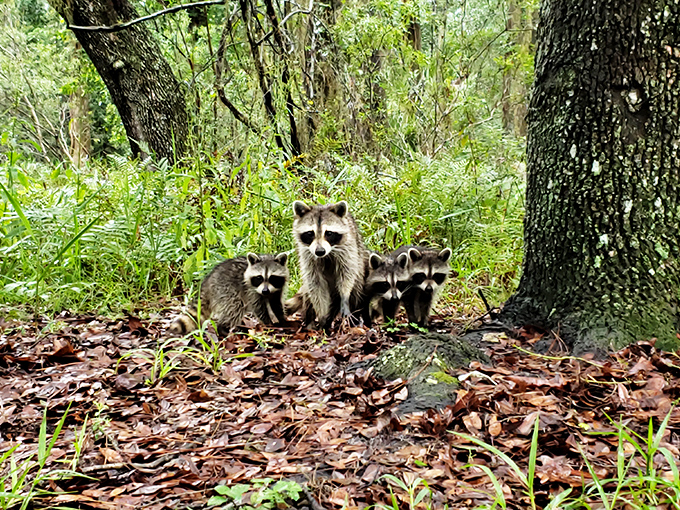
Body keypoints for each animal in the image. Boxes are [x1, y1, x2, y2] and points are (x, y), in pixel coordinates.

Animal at [287, 200, 368, 329]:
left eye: (329, 233)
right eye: (310, 233)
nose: (320, 251)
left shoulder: (348, 248)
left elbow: (347, 275)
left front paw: (344, 297)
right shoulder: (307, 254)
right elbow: (315, 284)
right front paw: (322, 314)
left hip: (360, 265)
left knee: (356, 290)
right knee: (308, 294)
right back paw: (310, 320)